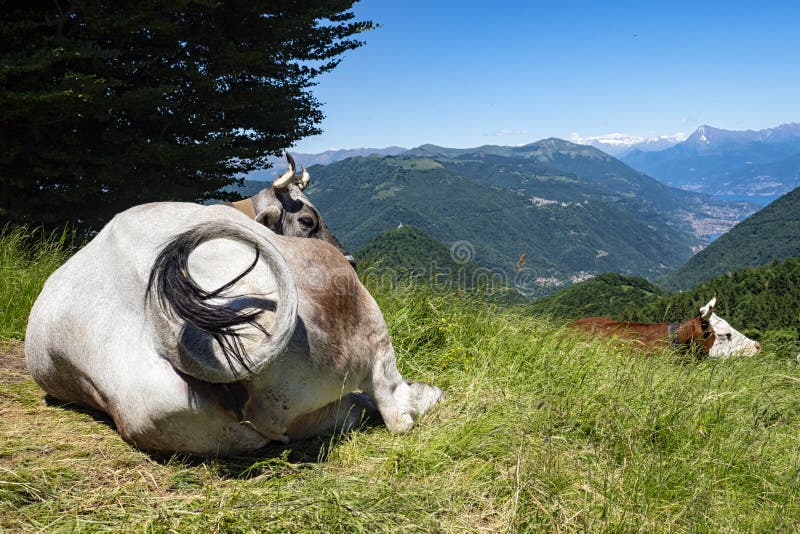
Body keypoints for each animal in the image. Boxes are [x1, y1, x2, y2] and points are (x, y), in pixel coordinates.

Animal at [25, 202, 443, 455]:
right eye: (308, 222)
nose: (352, 258)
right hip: (361, 316)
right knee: (393, 408)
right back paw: (427, 396)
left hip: (164, 414)